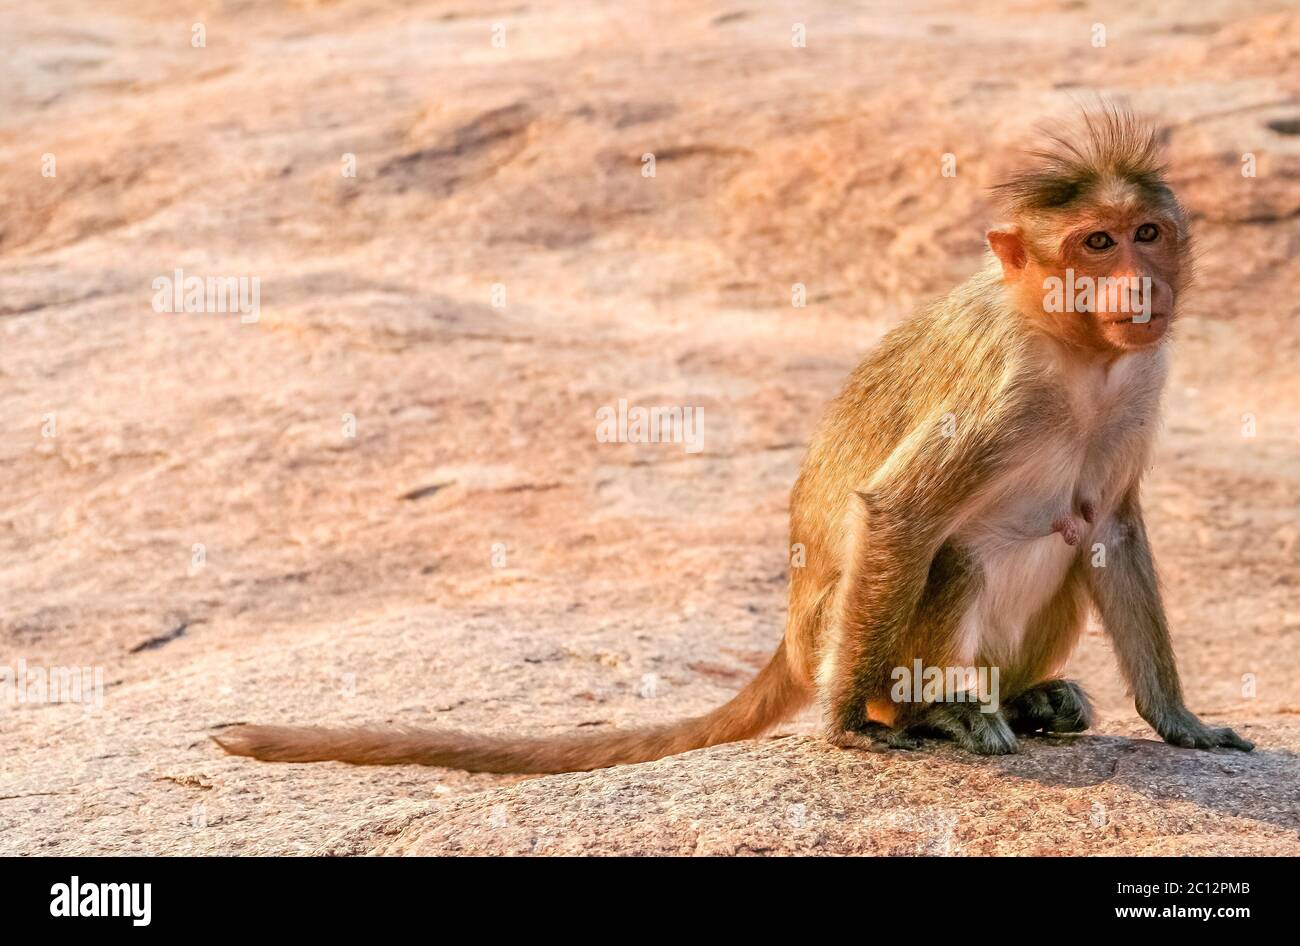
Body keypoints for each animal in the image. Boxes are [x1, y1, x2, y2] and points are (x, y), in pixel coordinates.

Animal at [215, 106, 1253, 774]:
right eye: (1093, 244)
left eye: (1145, 233)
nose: (1137, 290)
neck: (1081, 356)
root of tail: (792, 640)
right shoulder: (1007, 392)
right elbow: (900, 513)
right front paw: (847, 727)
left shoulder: (1143, 380)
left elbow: (1110, 526)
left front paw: (1179, 720)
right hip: (841, 631)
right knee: (954, 553)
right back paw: (926, 711)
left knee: (1068, 537)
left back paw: (1028, 698)